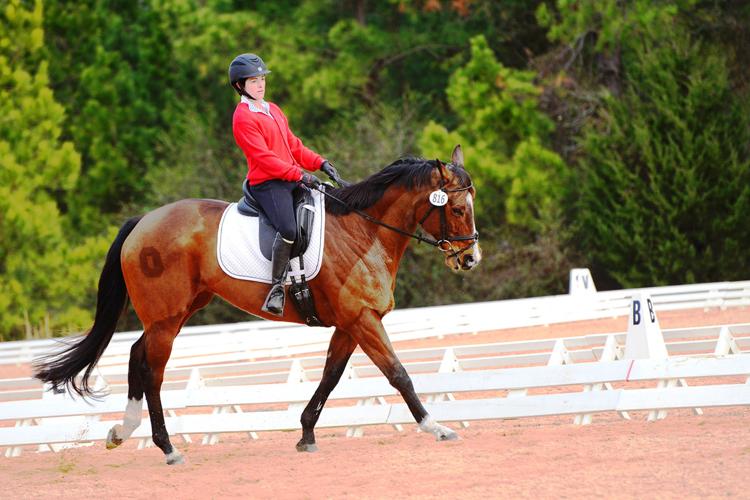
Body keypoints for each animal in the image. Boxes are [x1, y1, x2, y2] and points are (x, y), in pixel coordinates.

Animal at [34, 145, 481, 465]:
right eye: (458, 208)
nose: (470, 259)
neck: (362, 230)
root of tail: (142, 221)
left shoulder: (349, 323)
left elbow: (331, 377)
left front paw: (306, 435)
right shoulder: (362, 319)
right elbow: (398, 374)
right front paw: (436, 427)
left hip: (177, 313)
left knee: (135, 355)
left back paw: (122, 432)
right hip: (165, 319)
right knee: (152, 372)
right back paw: (167, 448)